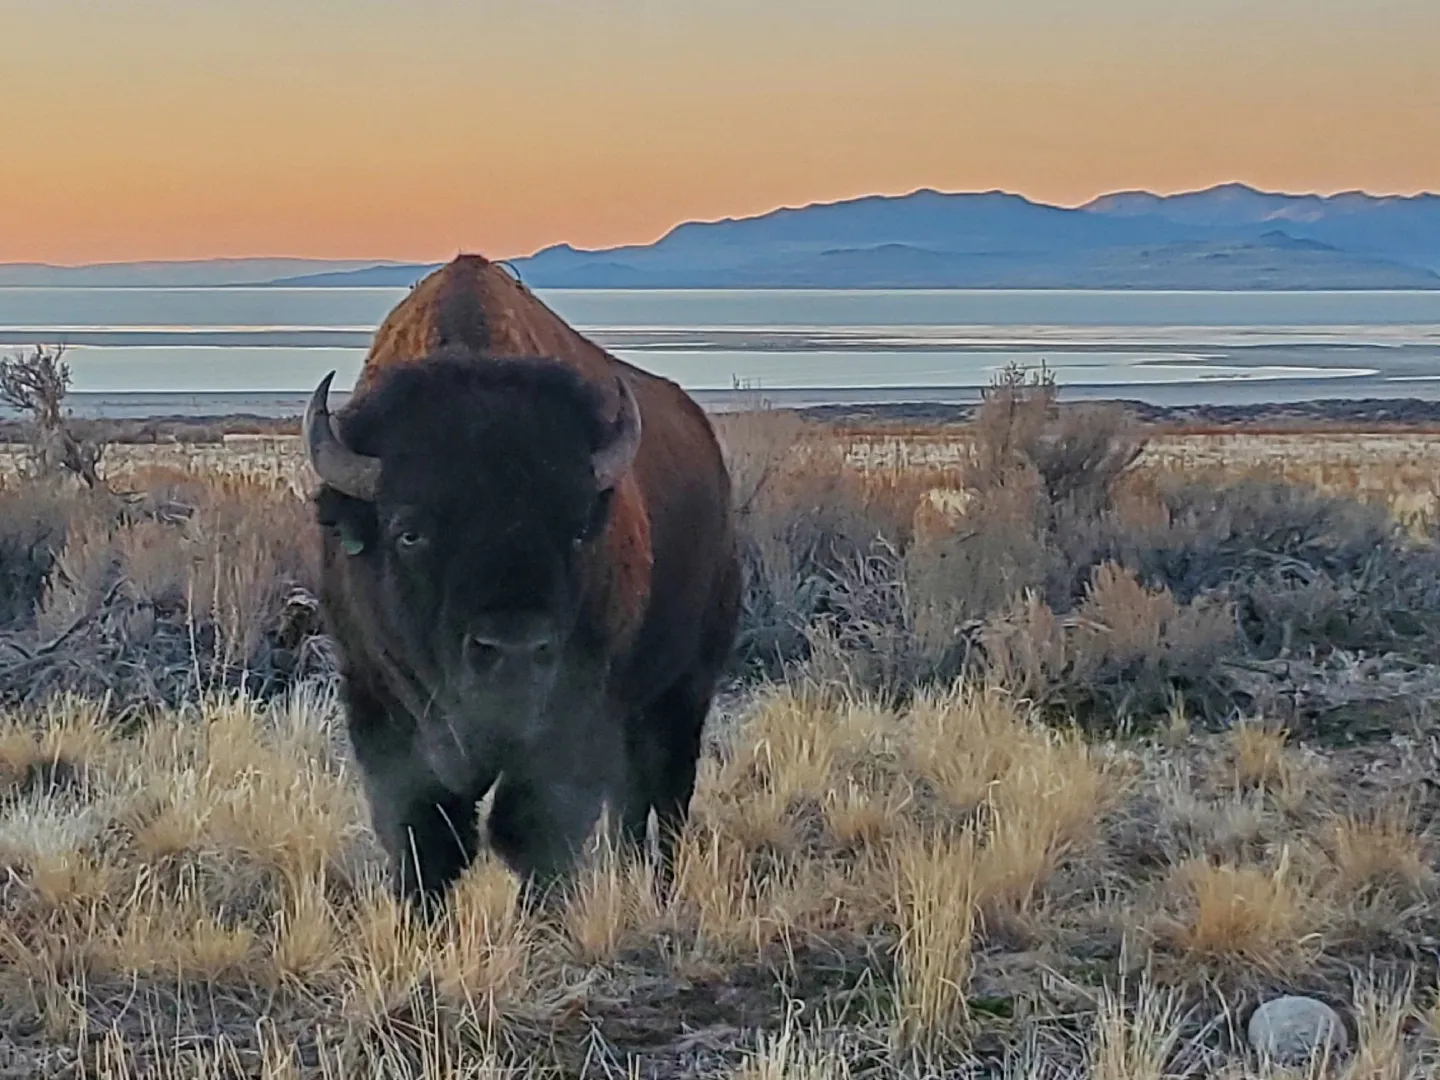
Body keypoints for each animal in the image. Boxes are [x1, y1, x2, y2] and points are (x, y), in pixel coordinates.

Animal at [303, 255, 741, 909]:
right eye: (410, 532)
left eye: (577, 528)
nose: (512, 651)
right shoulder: (376, 699)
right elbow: (423, 834)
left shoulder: (575, 710)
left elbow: (534, 828)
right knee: (631, 809)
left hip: (684, 692)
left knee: (666, 800)